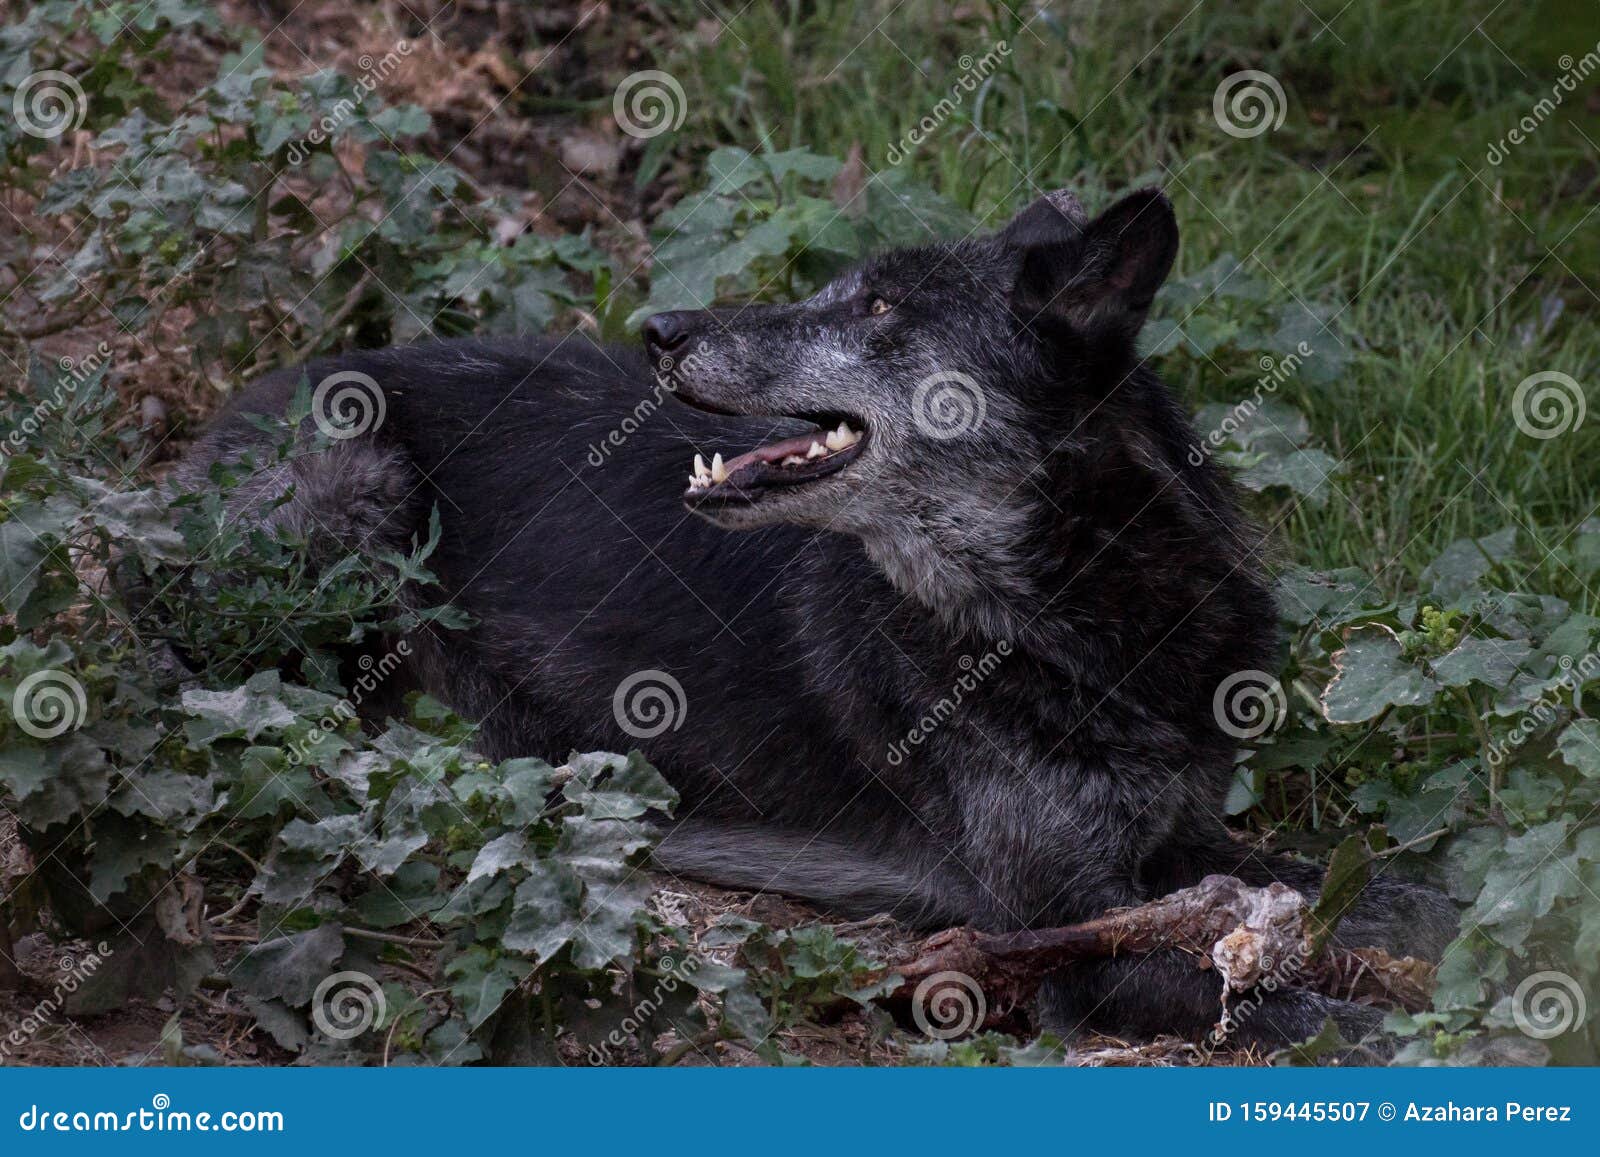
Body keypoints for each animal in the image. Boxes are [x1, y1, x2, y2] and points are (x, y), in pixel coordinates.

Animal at [176, 185, 1455, 1048]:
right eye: (828, 288)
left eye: (881, 305)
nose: (660, 329)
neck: (1077, 613)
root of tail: (218, 413)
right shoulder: (1063, 921)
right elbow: (1309, 1009)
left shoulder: (1185, 842)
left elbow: (1386, 896)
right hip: (359, 480)